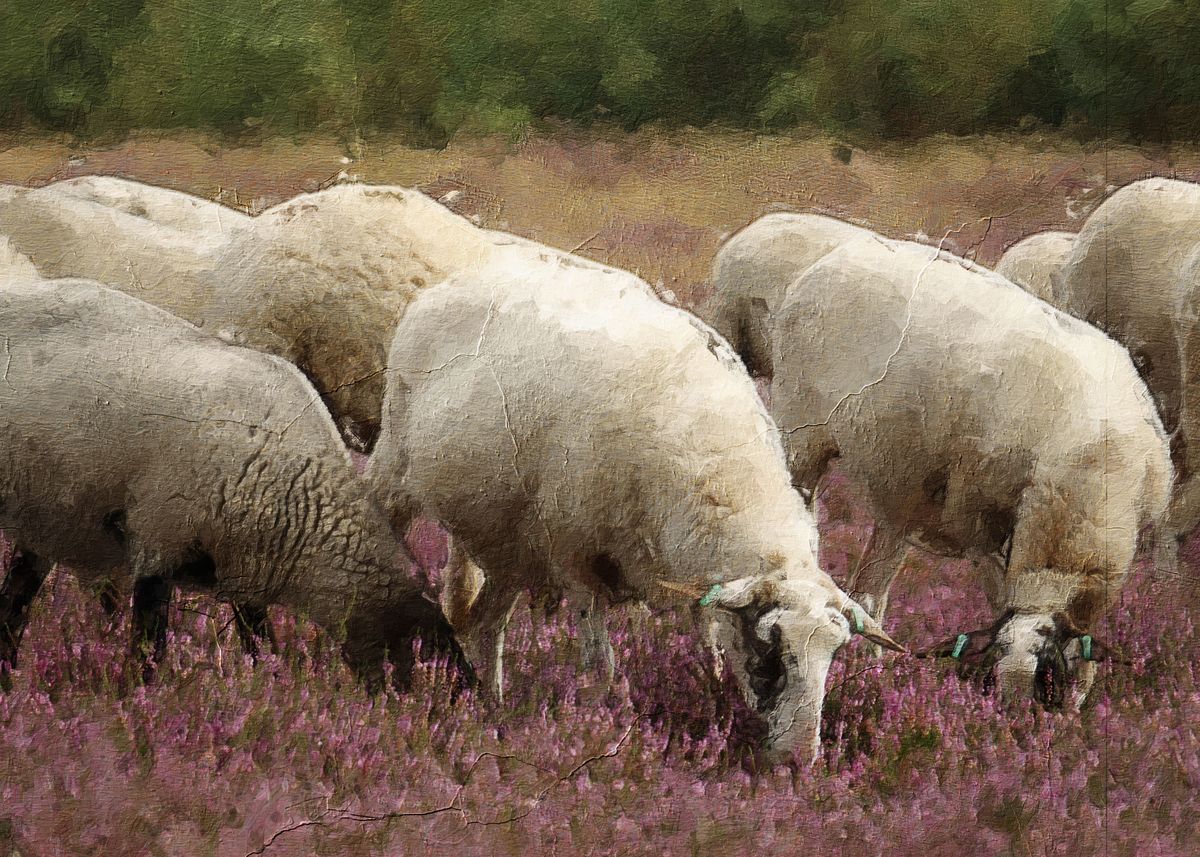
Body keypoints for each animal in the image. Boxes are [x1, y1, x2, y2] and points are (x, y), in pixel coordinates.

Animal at [0, 272, 468, 691]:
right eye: (428, 659)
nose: (459, 711)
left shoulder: (244, 570)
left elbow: (261, 647)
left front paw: (271, 691)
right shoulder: (158, 543)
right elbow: (149, 649)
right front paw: (135, 700)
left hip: (45, 521)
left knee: (14, 602)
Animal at [366, 252, 902, 761]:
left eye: (835, 653)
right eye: (771, 648)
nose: (799, 761)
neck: (721, 466)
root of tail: (449, 284)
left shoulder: (690, 578)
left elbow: (710, 651)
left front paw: (713, 702)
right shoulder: (576, 560)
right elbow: (601, 669)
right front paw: (602, 732)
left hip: (510, 544)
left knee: (485, 623)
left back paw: (493, 707)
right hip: (394, 464)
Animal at [771, 234, 1172, 708]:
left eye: (1048, 678)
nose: (1009, 720)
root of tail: (839, 256)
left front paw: (1078, 703)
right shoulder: (978, 520)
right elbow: (998, 596)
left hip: (900, 487)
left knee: (872, 584)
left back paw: (871, 667)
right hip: (800, 435)